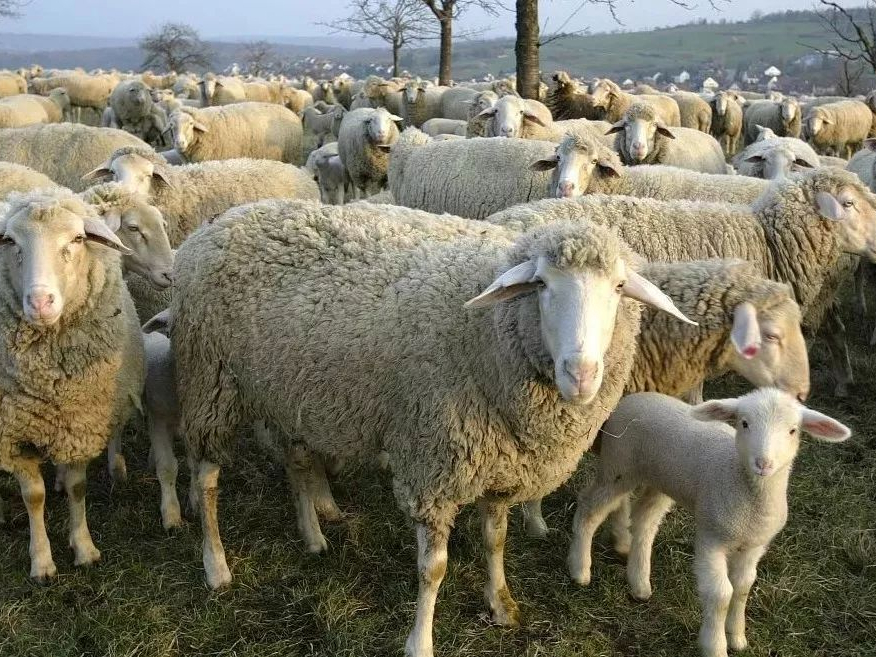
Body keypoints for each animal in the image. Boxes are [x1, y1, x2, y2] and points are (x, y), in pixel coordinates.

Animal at [0, 188, 145, 580]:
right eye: (10, 241)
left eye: (77, 239)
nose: (40, 302)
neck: (49, 381)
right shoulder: (15, 435)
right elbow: (33, 497)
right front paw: (42, 561)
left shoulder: (80, 424)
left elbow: (79, 489)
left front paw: (83, 548)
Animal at [170, 199, 693, 657]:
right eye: (542, 284)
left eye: (620, 287)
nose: (581, 374)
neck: (487, 335)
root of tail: (220, 220)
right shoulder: (434, 465)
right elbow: (433, 570)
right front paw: (420, 641)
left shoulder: (499, 463)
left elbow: (495, 539)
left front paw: (500, 602)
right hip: (209, 382)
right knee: (207, 477)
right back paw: (216, 564)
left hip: (288, 392)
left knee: (296, 461)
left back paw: (312, 534)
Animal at [568, 389, 850, 657]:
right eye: (744, 423)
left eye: (793, 430)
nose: (763, 463)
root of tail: (634, 397)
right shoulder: (711, 538)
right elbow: (721, 594)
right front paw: (715, 646)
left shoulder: (754, 547)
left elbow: (743, 587)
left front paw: (737, 637)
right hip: (617, 465)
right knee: (590, 507)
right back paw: (580, 569)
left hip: (658, 479)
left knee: (643, 521)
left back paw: (637, 578)